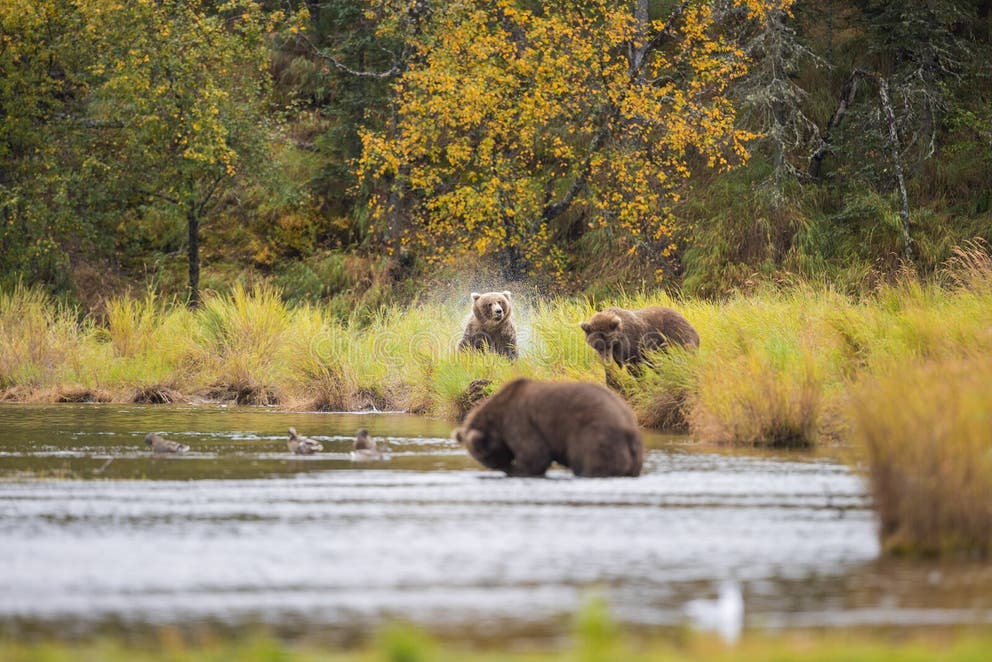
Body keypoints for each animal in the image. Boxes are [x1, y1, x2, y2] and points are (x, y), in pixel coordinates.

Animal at [452, 378, 644, 477]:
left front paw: (517, 470)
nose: (499, 466)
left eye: (485, 456)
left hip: (595, 437)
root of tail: (630, 432)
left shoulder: (520, 421)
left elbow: (534, 456)